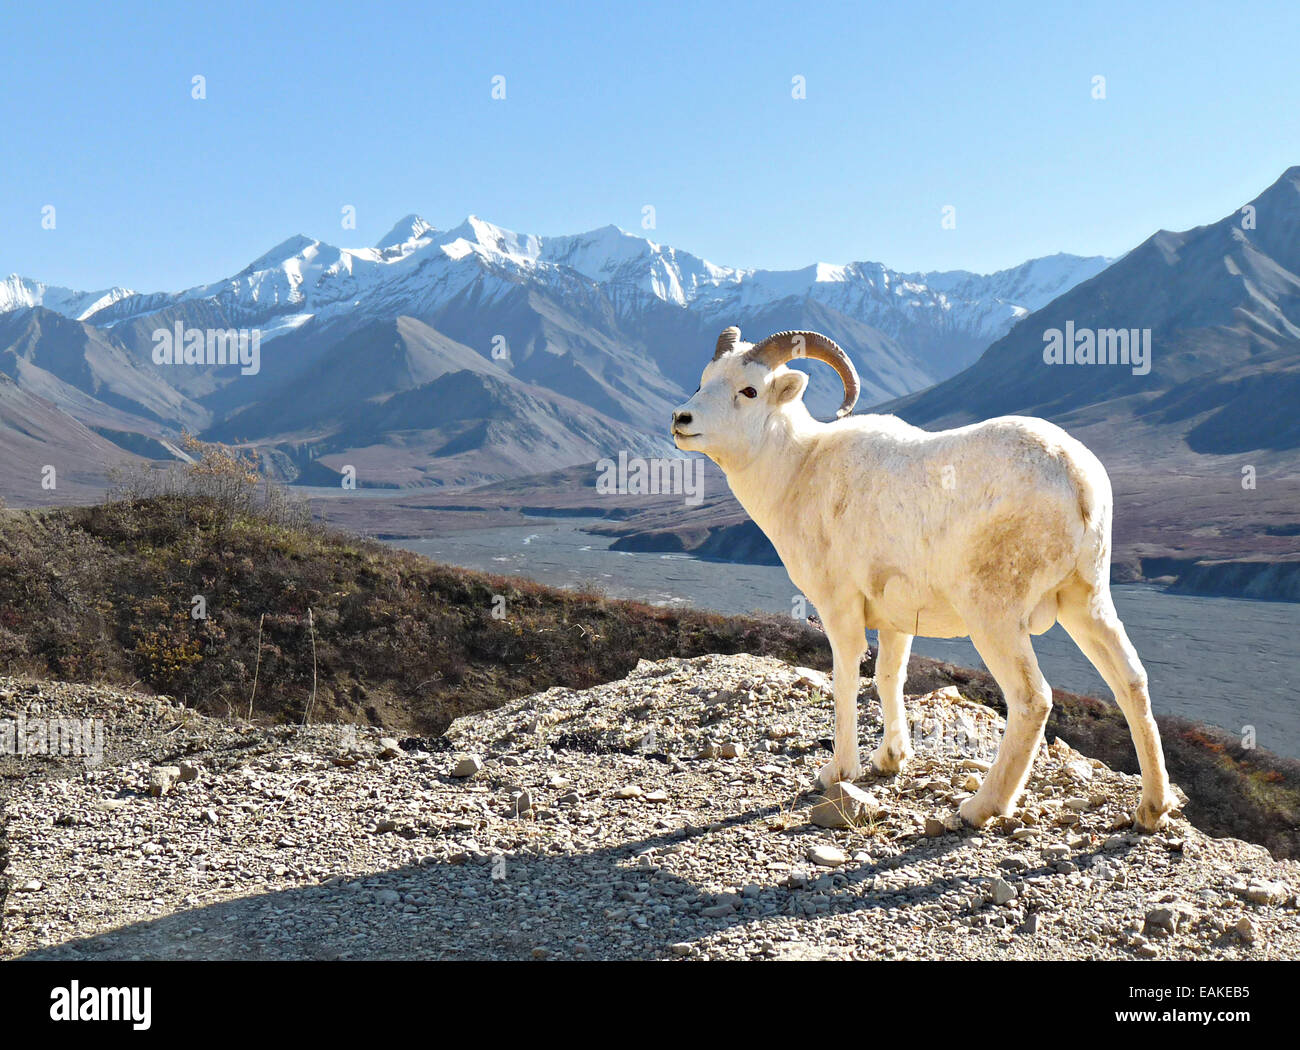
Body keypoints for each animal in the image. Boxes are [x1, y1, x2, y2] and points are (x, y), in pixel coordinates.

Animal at [671, 327, 1176, 831]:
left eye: (749, 391)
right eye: (704, 380)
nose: (681, 419)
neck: (800, 468)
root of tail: (1076, 481)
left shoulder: (840, 607)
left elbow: (846, 677)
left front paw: (838, 771)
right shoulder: (896, 619)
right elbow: (888, 676)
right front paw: (890, 759)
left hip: (993, 616)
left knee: (1032, 699)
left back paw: (980, 807)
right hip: (1085, 602)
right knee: (1131, 682)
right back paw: (1151, 809)